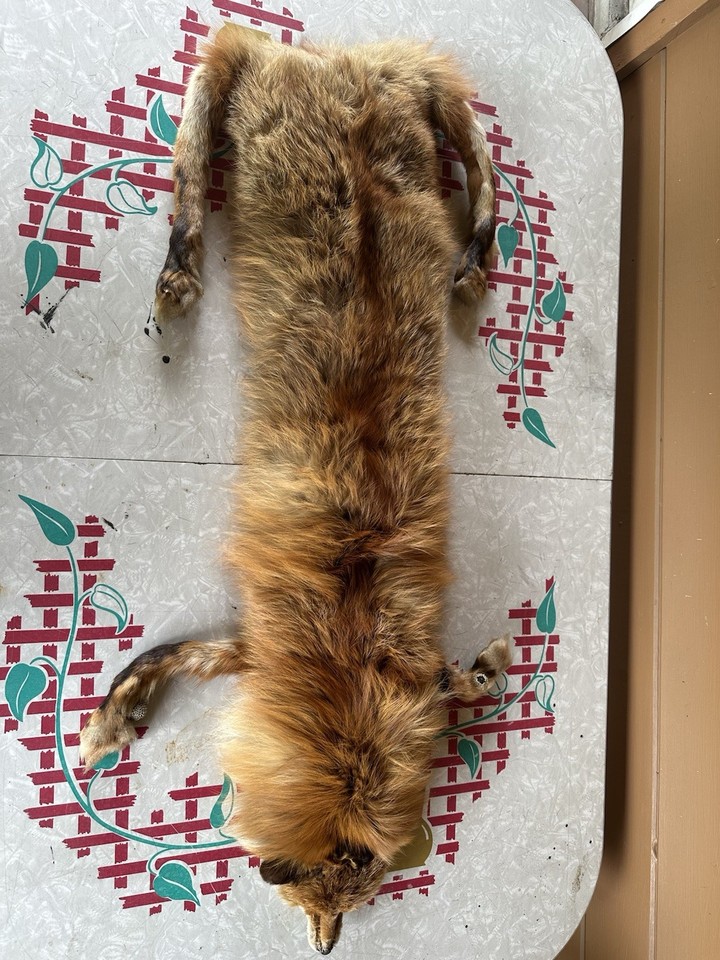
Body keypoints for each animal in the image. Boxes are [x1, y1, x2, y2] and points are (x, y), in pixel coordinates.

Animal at [79, 24, 512, 954]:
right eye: (313, 902)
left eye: (358, 901)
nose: (324, 945)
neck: (353, 670)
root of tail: (355, 65)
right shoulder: (245, 648)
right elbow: (143, 665)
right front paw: (107, 724)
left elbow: (469, 684)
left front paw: (486, 674)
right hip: (249, 89)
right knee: (205, 95)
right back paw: (179, 267)